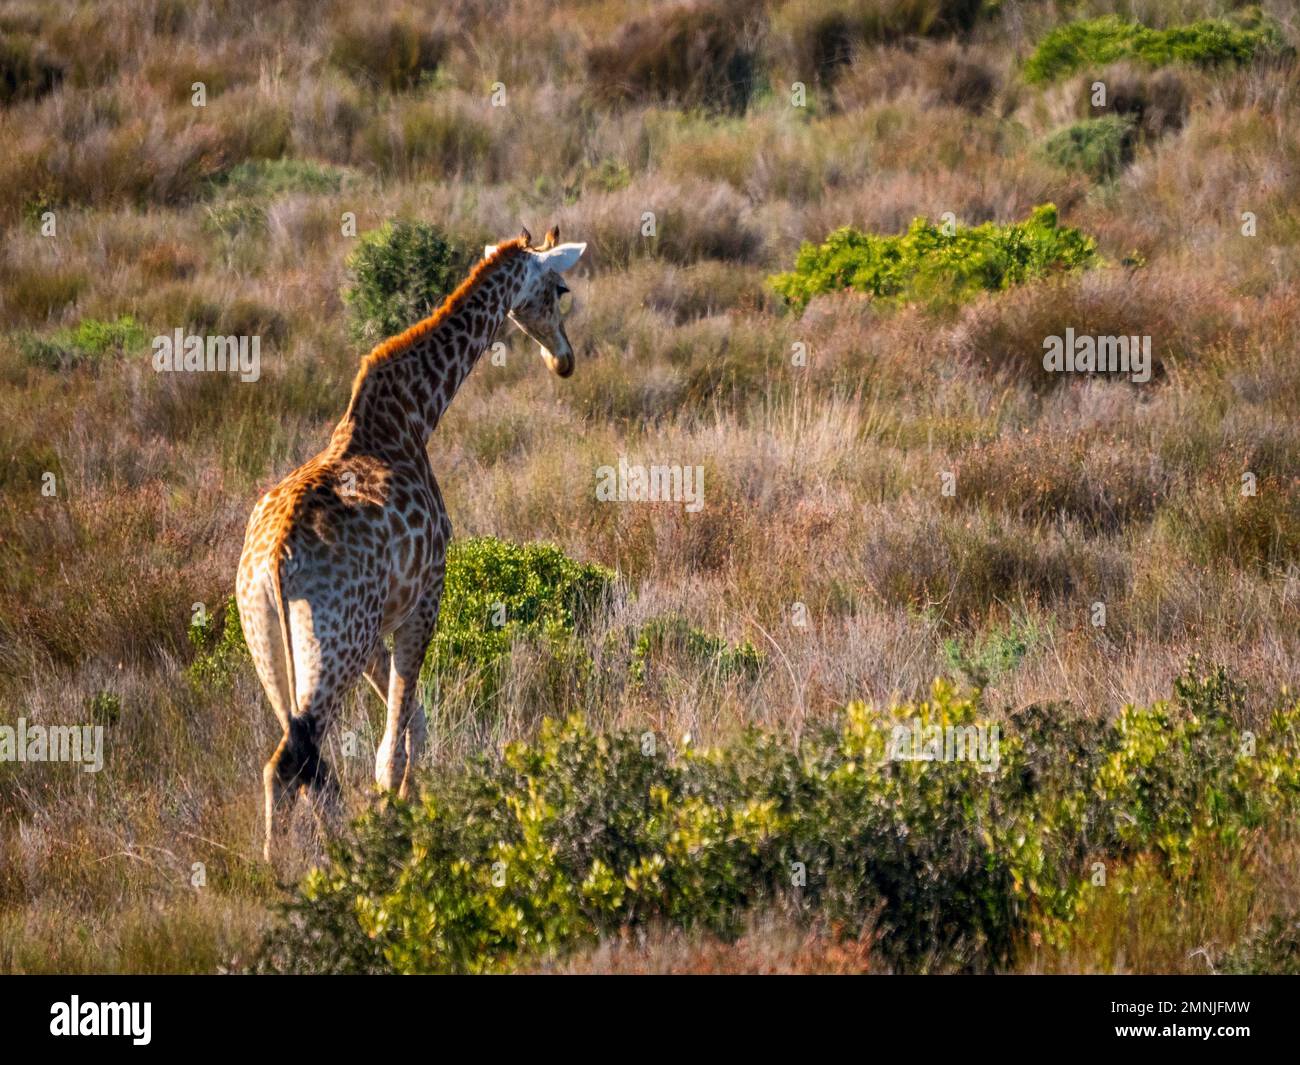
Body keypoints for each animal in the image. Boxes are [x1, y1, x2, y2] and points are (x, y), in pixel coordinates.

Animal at [235, 225, 587, 860]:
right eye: (560, 288)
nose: (563, 360)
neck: (415, 413)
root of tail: (273, 562)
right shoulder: (427, 597)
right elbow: (392, 746)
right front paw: (397, 819)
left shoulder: (381, 622)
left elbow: (412, 729)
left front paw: (398, 813)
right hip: (334, 643)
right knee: (292, 761)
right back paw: (291, 872)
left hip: (268, 644)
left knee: (305, 760)